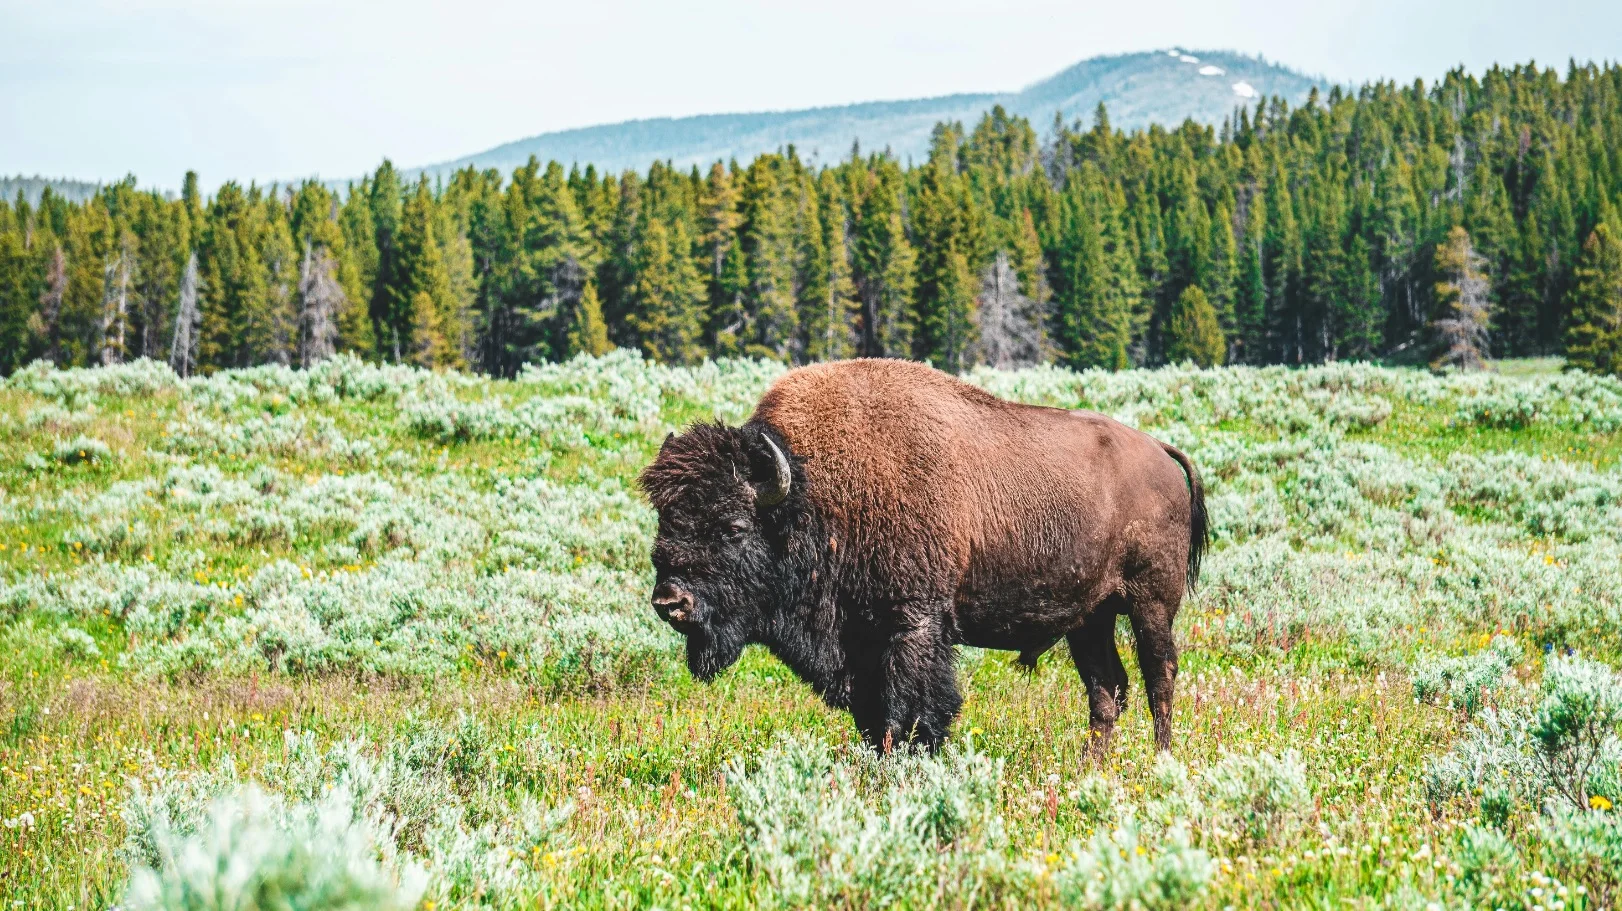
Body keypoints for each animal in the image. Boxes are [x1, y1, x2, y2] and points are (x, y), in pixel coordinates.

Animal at [639, 358, 1205, 754]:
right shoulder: (861, 645)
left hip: (1150, 603)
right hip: (1090, 618)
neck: (811, 492)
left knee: (1159, 674)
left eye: (733, 527)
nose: (670, 602)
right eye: (665, 521)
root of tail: (1159, 450)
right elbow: (875, 718)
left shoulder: (912, 624)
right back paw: (1093, 766)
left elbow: (911, 710)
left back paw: (1160, 759)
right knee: (1106, 689)